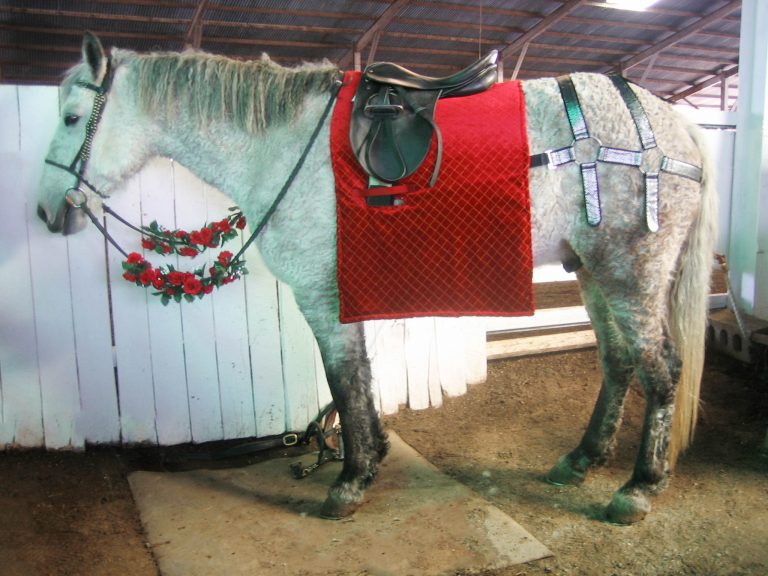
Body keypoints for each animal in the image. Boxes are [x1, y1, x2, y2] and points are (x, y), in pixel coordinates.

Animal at [36, 33, 716, 525]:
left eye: (71, 117)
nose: (46, 211)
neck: (284, 147)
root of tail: (673, 122)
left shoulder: (320, 297)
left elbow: (342, 380)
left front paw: (350, 480)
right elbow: (358, 379)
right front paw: (367, 460)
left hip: (631, 273)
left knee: (661, 370)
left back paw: (638, 488)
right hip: (595, 271)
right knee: (618, 362)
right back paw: (580, 460)